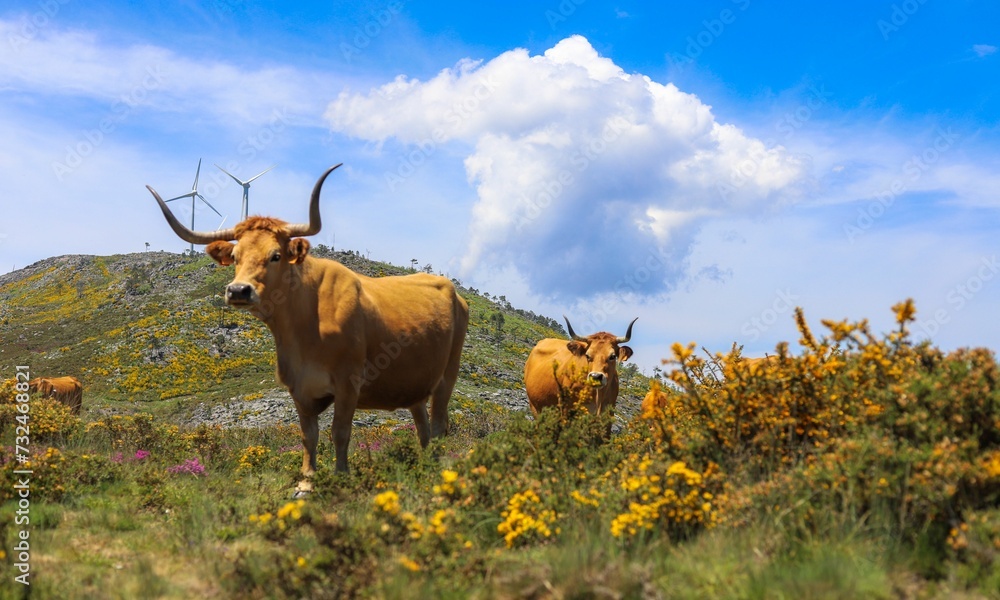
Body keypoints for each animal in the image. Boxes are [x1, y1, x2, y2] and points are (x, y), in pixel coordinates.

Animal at [147, 164, 469, 495]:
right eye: (235, 257)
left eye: (275, 255)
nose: (238, 290)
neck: (303, 328)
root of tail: (453, 292)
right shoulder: (298, 387)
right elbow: (308, 436)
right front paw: (306, 482)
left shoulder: (348, 383)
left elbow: (340, 432)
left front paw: (340, 477)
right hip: (416, 384)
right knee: (423, 427)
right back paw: (426, 463)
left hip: (447, 376)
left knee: (438, 424)